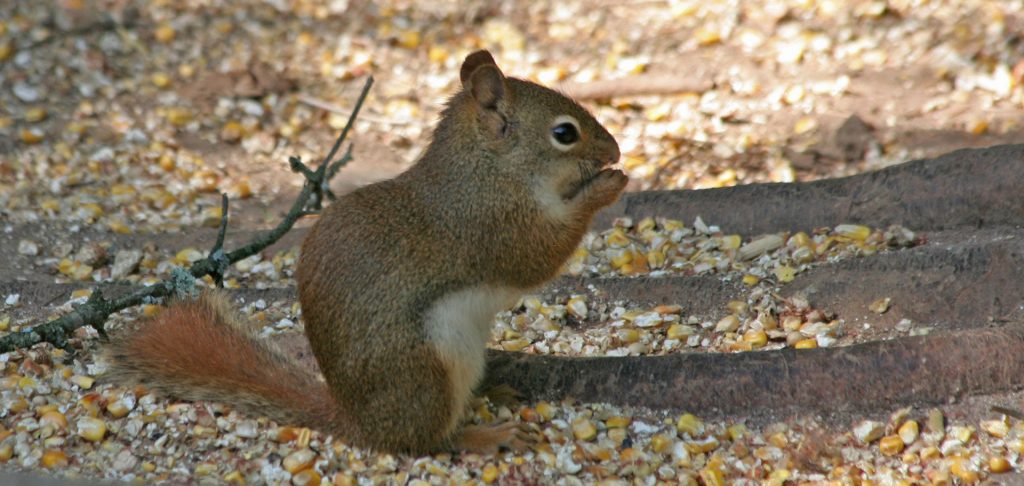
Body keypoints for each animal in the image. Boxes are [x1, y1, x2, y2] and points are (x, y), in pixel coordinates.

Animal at [103, 50, 627, 455]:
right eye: (565, 133)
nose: (616, 151)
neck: (487, 168)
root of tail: (358, 422)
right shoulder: (491, 224)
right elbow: (540, 255)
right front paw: (604, 188)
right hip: (426, 370)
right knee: (426, 441)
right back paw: (484, 435)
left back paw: (493, 391)